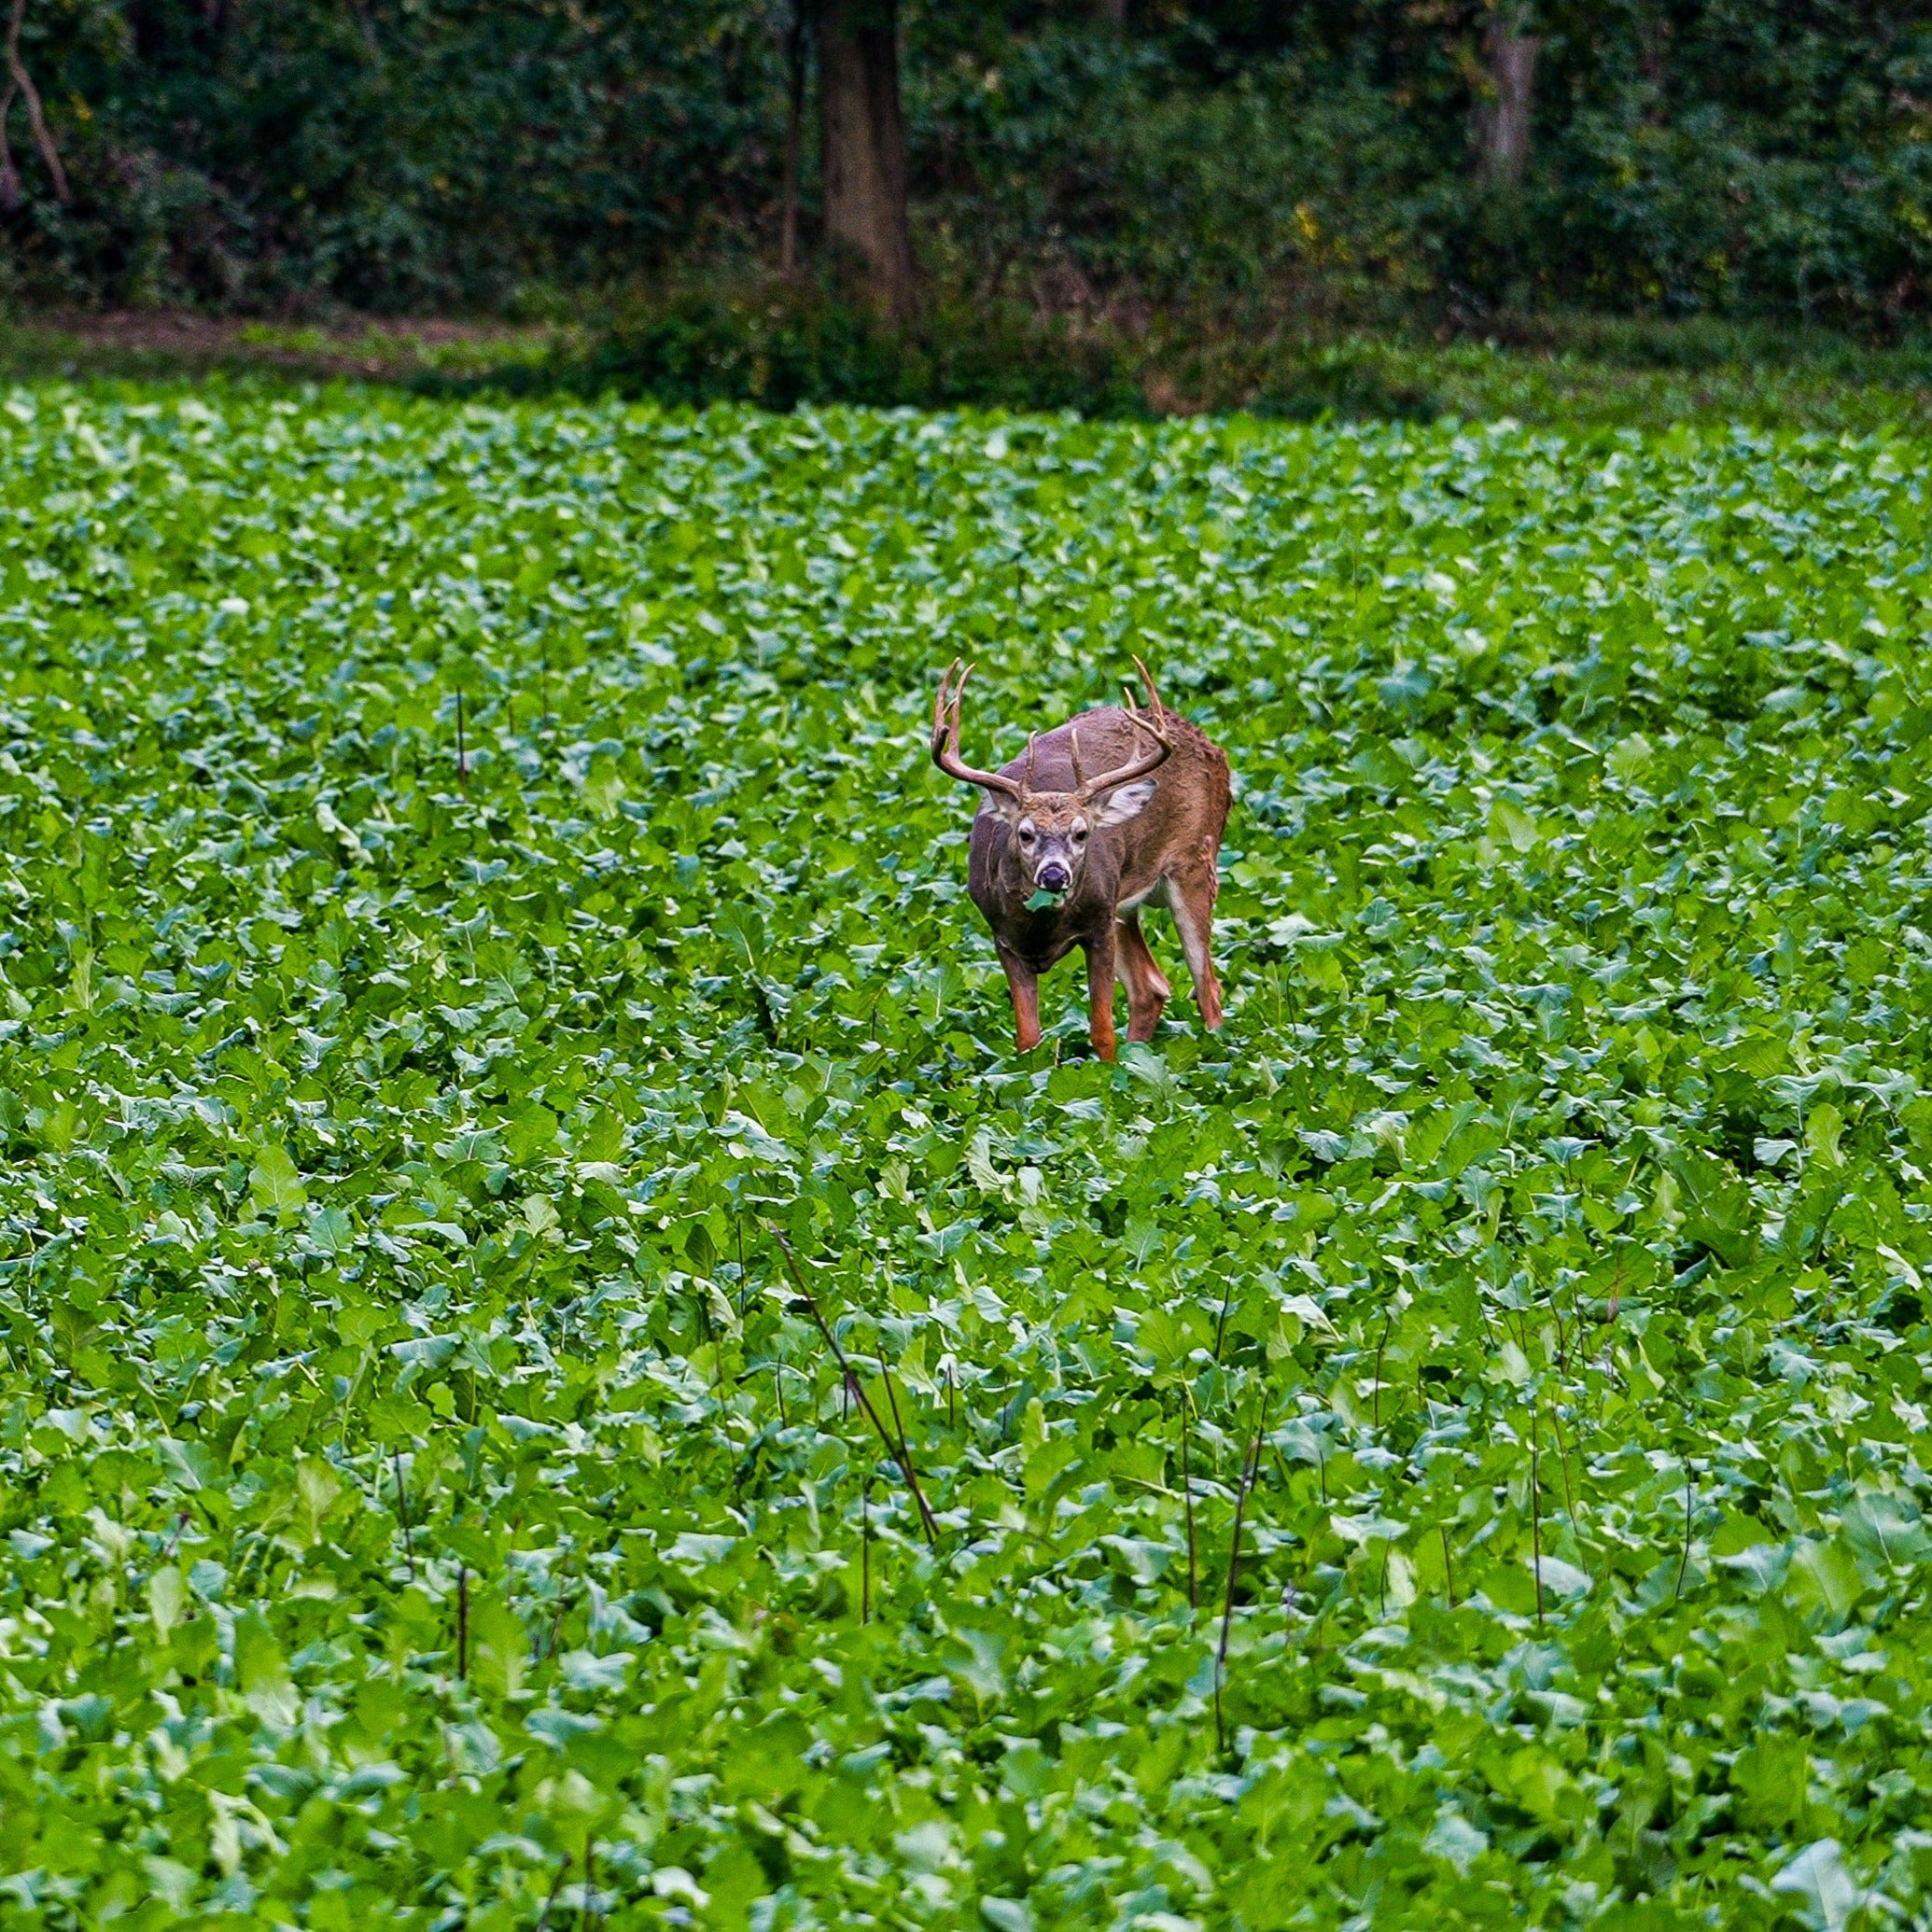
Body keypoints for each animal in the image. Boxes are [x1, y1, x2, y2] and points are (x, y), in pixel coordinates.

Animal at [931, 658, 1231, 1062]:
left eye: (1082, 833)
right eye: (1025, 833)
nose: (1055, 875)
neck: (1041, 928)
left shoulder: (1098, 929)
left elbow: (1102, 1030)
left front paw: (1107, 1073)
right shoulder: (1003, 939)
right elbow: (1028, 1036)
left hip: (1195, 861)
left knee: (1207, 985)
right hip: (1122, 903)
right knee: (1150, 987)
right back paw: (1138, 1059)